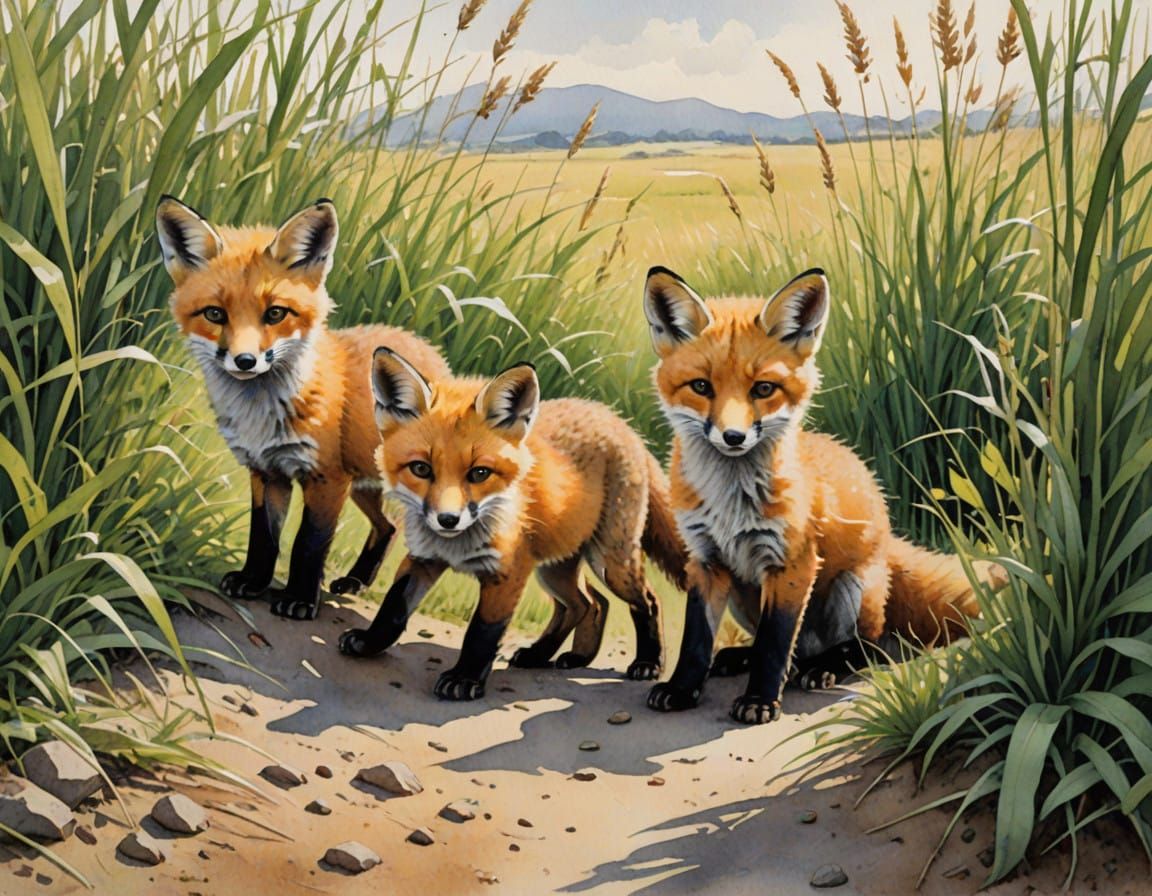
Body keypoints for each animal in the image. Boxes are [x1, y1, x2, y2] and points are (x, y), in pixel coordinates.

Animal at [157, 196, 449, 621]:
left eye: (275, 314)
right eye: (215, 314)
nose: (245, 361)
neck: (262, 416)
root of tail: (420, 344)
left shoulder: (326, 479)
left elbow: (307, 545)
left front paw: (298, 599)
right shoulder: (266, 471)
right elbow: (263, 537)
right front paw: (254, 582)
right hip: (364, 485)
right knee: (387, 527)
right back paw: (355, 580)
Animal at [336, 349, 687, 700]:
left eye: (479, 473)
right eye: (421, 469)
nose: (447, 520)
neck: (455, 545)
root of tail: (618, 421)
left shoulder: (509, 571)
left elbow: (482, 633)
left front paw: (465, 679)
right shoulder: (423, 558)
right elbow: (392, 608)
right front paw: (370, 643)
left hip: (609, 563)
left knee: (646, 600)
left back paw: (648, 663)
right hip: (555, 566)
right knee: (587, 604)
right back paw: (559, 655)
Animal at [640, 266, 1007, 724]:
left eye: (763, 389)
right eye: (701, 386)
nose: (733, 437)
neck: (731, 500)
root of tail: (888, 540)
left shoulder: (793, 563)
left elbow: (774, 643)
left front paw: (760, 701)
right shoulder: (706, 560)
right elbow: (697, 638)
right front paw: (682, 688)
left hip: (854, 588)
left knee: (870, 647)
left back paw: (824, 668)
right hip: (745, 594)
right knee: (797, 650)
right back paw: (744, 657)